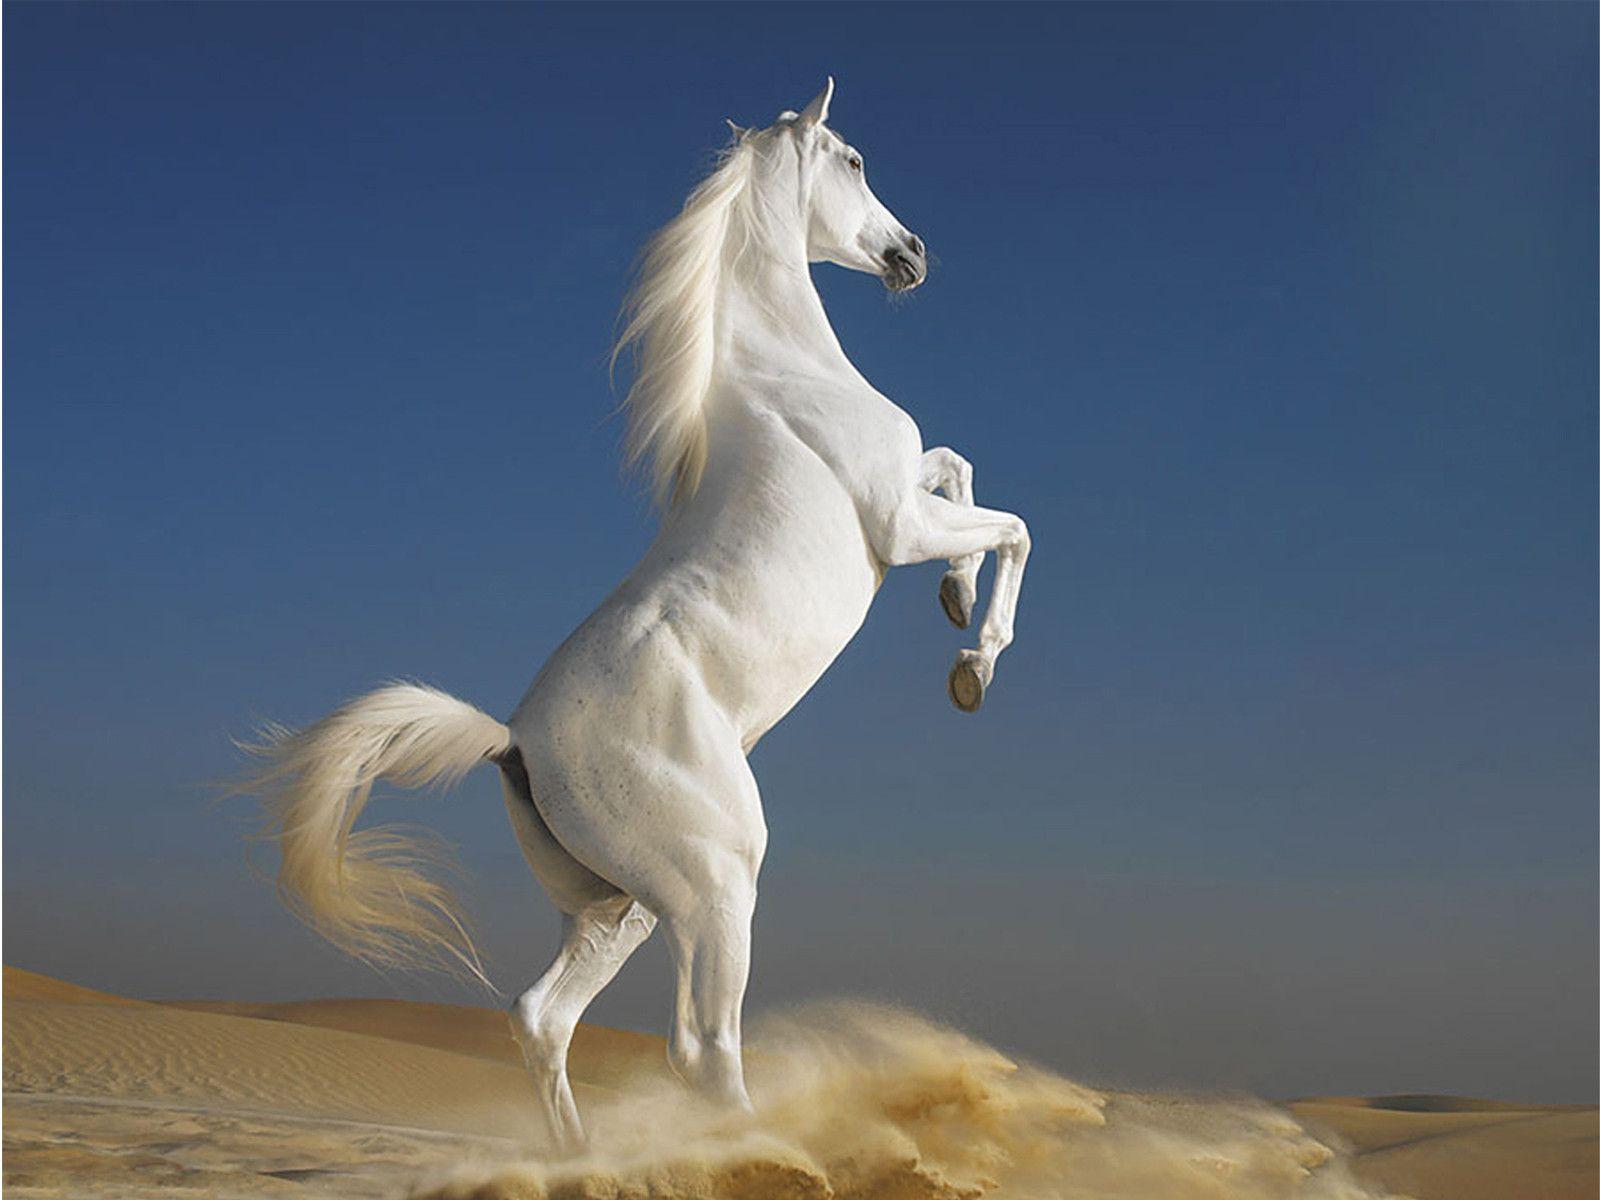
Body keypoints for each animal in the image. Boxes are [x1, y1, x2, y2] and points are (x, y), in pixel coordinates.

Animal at [240, 79, 1031, 1147]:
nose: (910, 253)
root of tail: (513, 742)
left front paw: (953, 602)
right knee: (700, 1049)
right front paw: (972, 664)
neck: (787, 377)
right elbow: (1011, 523)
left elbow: (958, 465)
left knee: (544, 1018)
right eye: (856, 159)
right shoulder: (898, 525)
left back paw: (583, 1159)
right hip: (718, 883)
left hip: (625, 906)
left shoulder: (912, 498)